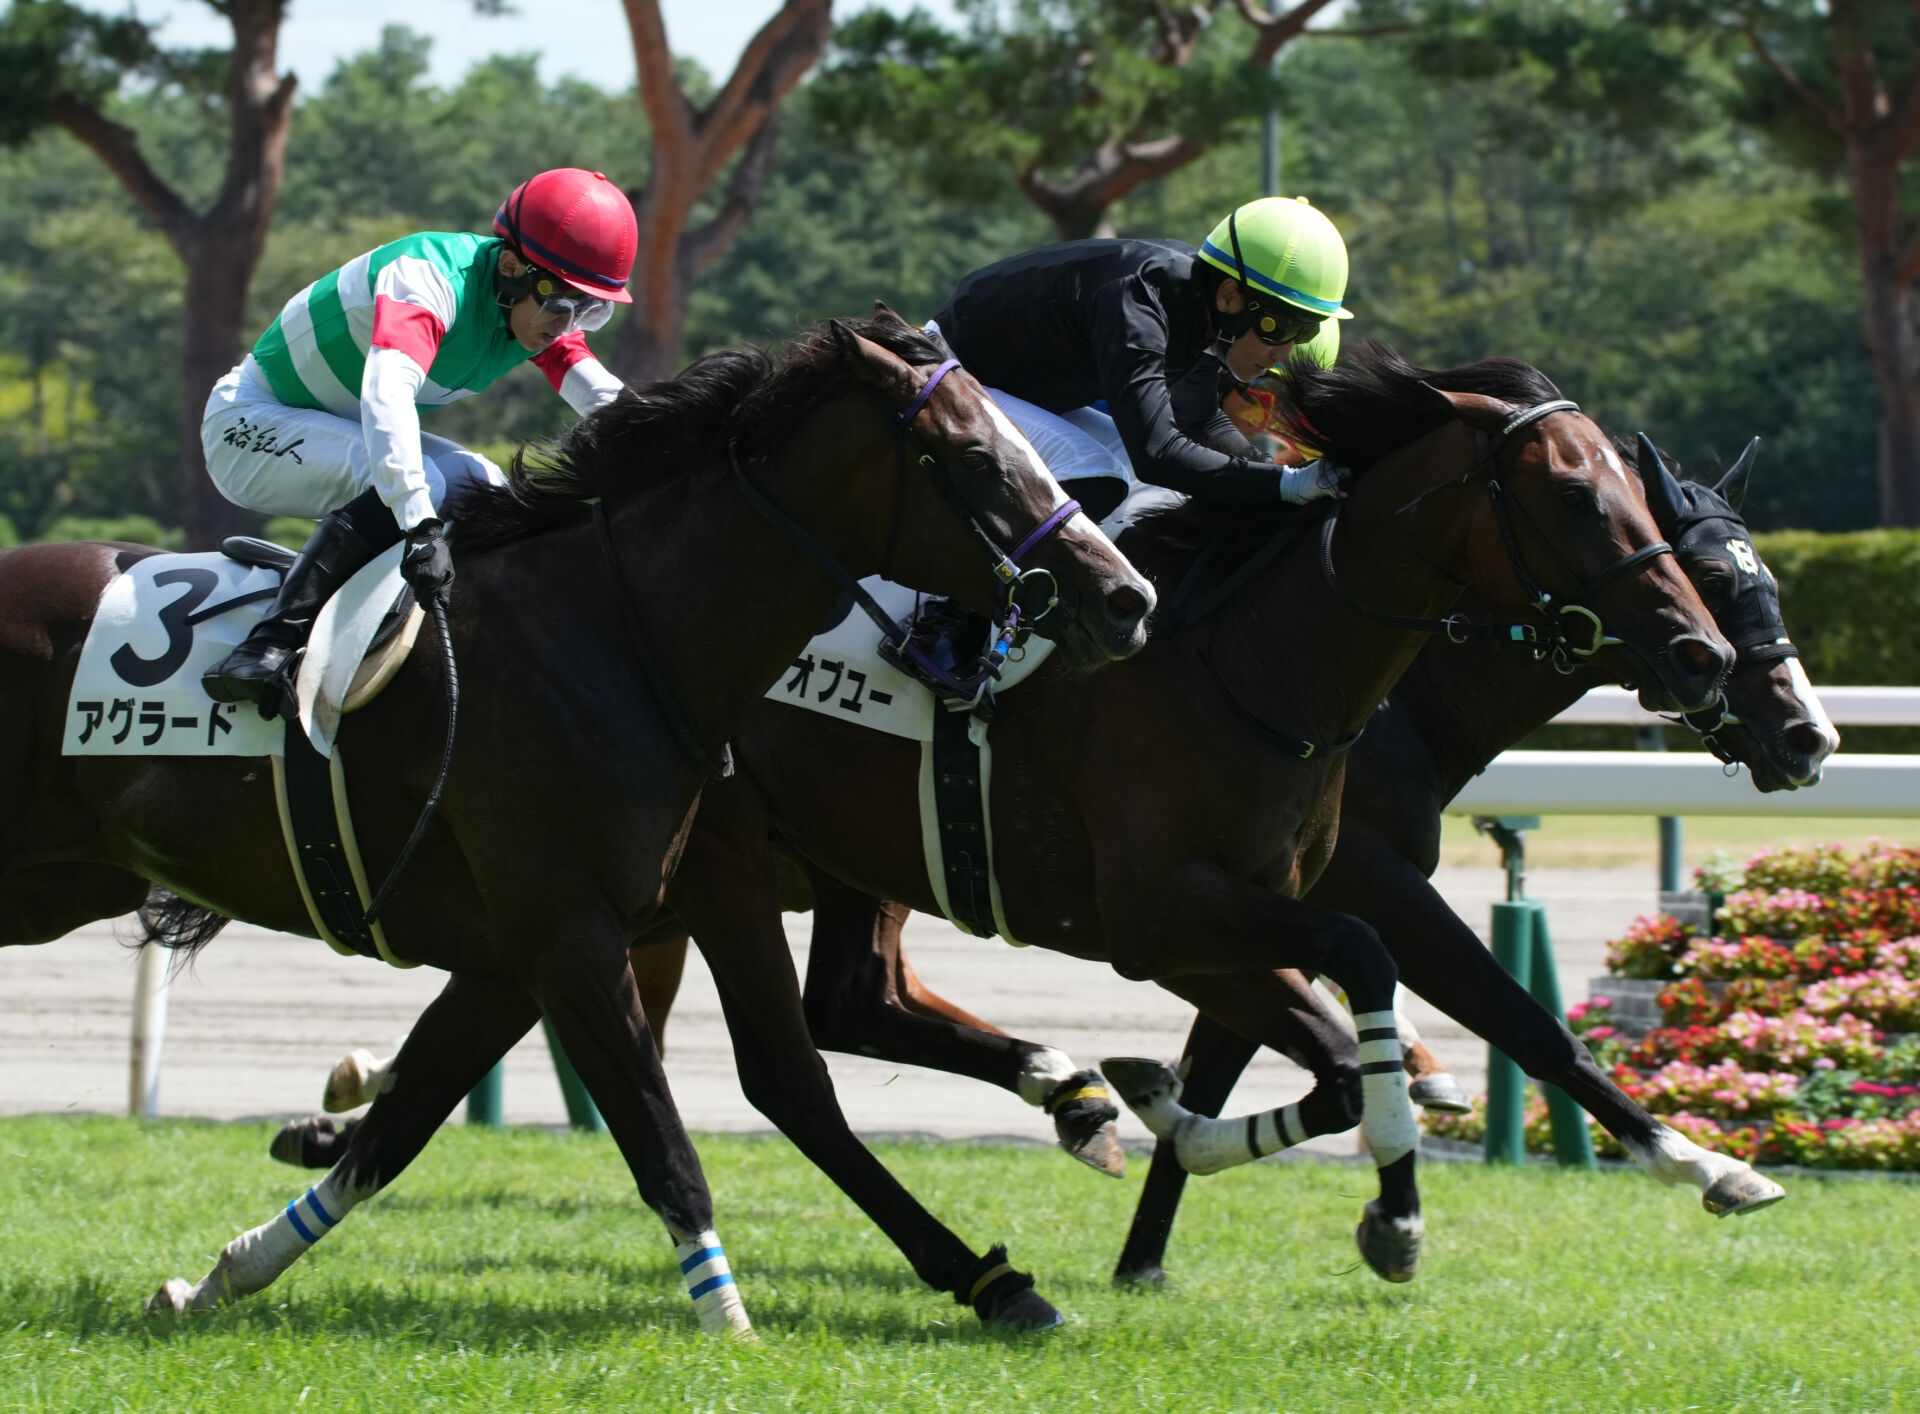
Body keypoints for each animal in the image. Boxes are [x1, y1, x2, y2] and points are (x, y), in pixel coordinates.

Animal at [0, 310, 1154, 1336]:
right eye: (975, 454)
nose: (1127, 597)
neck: (616, 631)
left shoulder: (530, 952)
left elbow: (398, 1133)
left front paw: (220, 1276)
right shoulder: (574, 938)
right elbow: (665, 1141)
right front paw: (731, 1323)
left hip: (63, 882)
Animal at [269, 343, 1736, 1288]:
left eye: (1652, 506)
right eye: (1573, 495)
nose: (1707, 655)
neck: (1256, 659)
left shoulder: (1244, 908)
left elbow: (1371, 1042)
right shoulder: (1172, 912)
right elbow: (1374, 998)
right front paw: (1390, 1203)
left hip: (786, 866)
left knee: (825, 1003)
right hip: (702, 868)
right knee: (733, 1023)